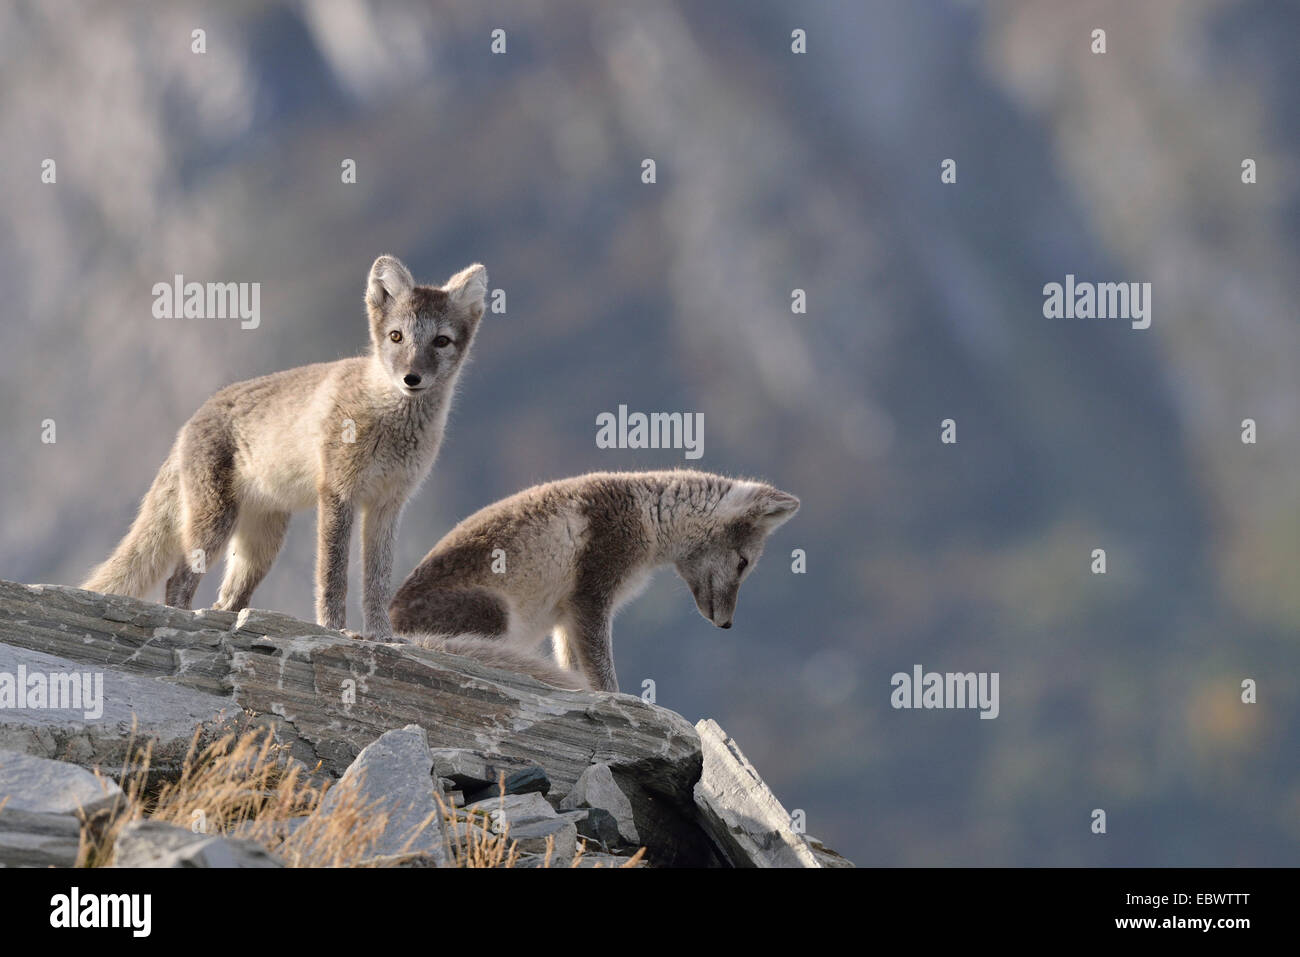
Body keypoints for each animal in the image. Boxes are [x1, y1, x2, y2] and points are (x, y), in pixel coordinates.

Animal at [82, 255, 487, 641]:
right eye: (396, 336)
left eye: (441, 341)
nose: (411, 378)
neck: (388, 420)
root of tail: (190, 422)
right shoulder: (338, 493)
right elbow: (332, 576)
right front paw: (334, 629)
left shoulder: (387, 505)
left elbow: (377, 583)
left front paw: (383, 636)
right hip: (214, 524)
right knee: (177, 579)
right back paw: (182, 618)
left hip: (261, 547)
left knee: (228, 599)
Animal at [388, 469, 800, 692]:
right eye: (744, 563)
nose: (727, 624)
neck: (648, 513)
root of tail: (394, 630)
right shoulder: (592, 597)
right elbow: (603, 675)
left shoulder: (566, 620)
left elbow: (574, 666)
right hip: (493, 612)